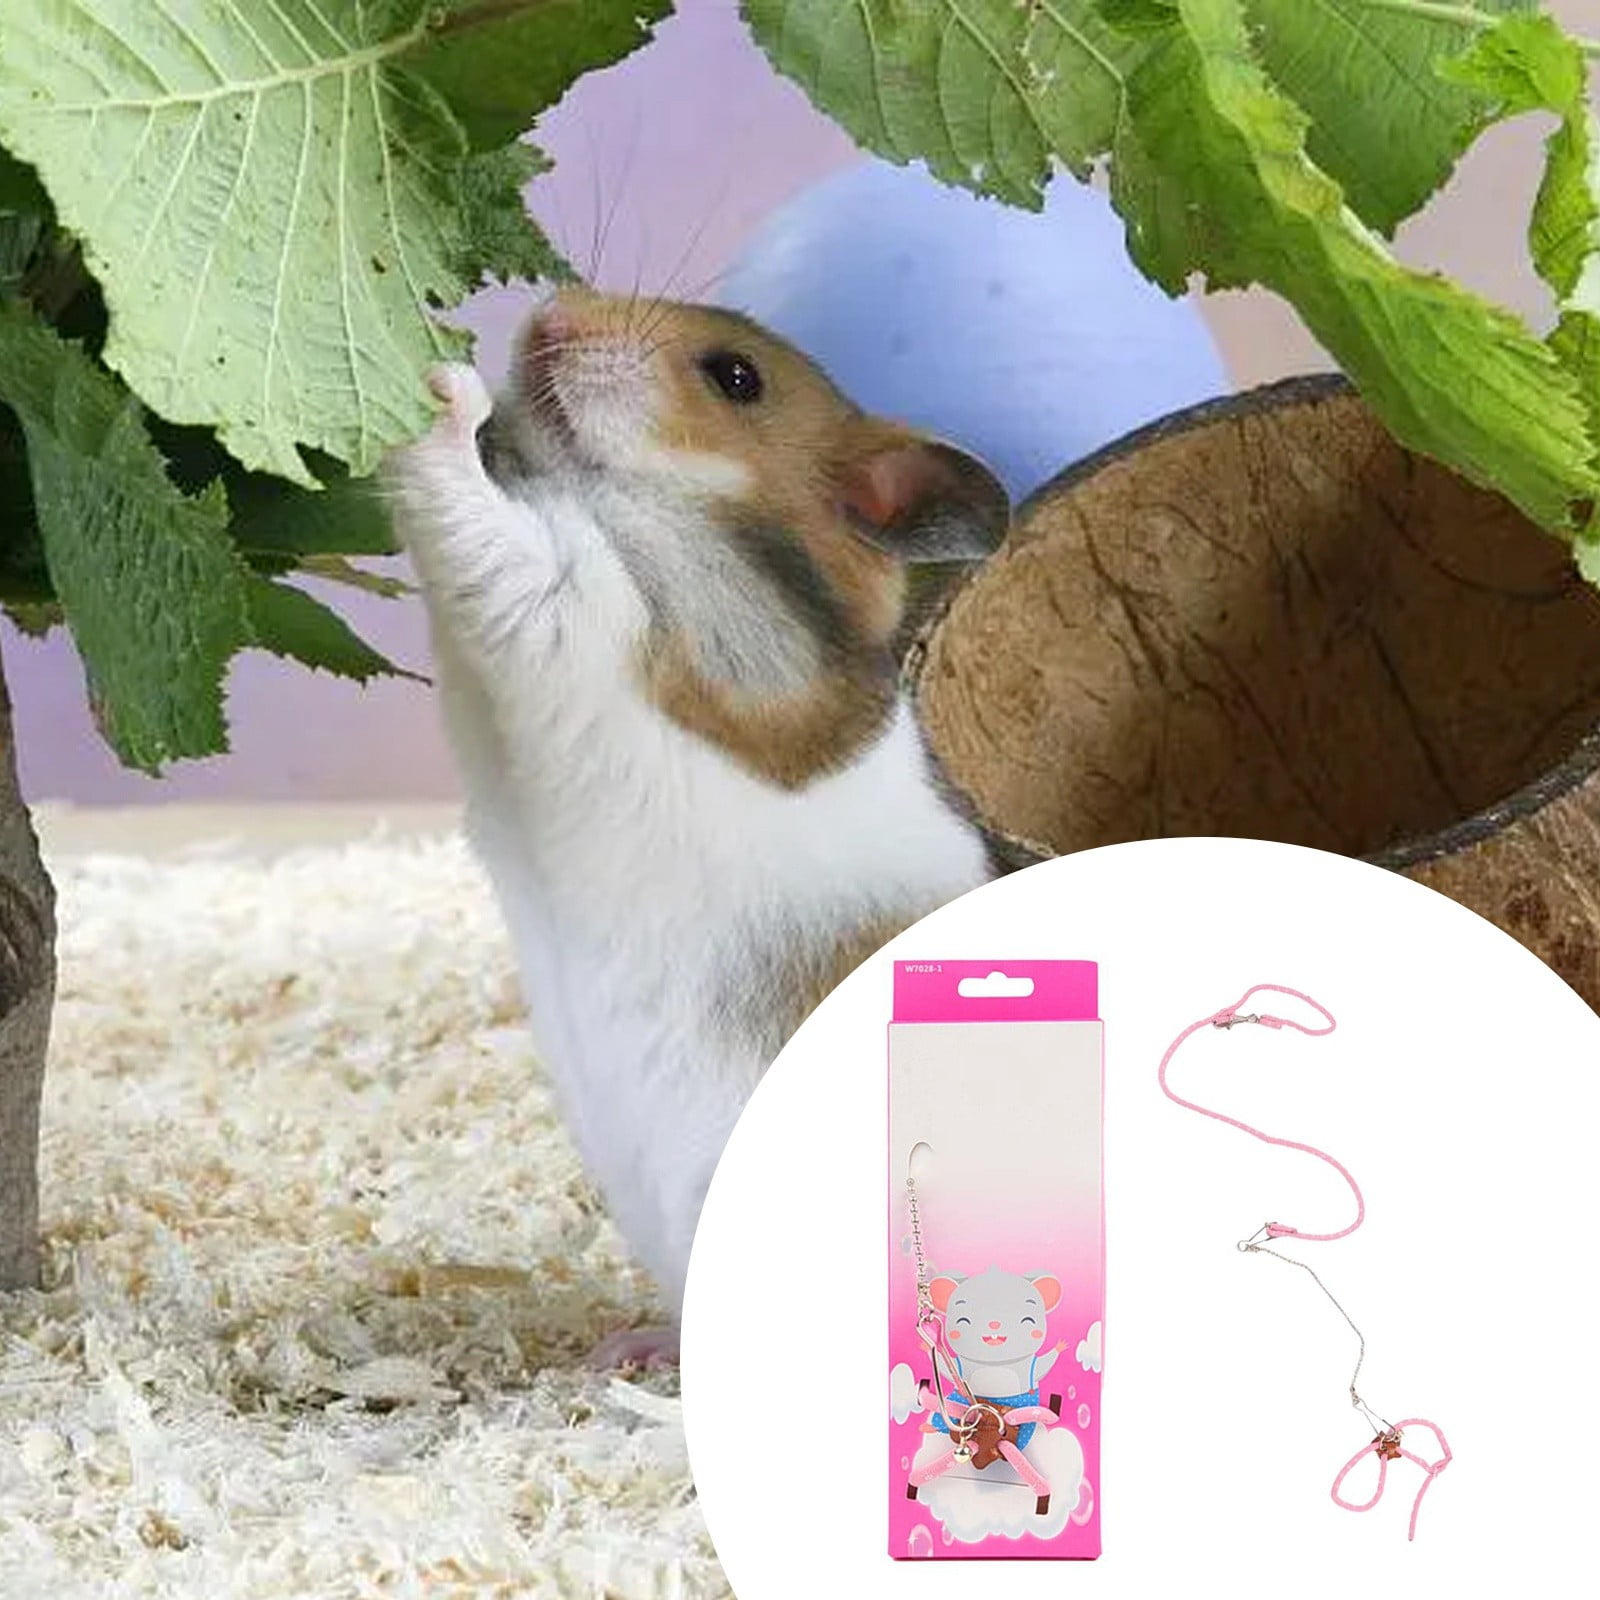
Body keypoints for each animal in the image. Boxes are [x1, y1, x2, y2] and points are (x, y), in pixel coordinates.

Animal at [385, 288, 1009, 1351]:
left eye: (735, 378)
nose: (549, 312)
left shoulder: (580, 610)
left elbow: (482, 524)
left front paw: (445, 385)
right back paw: (629, 1348)